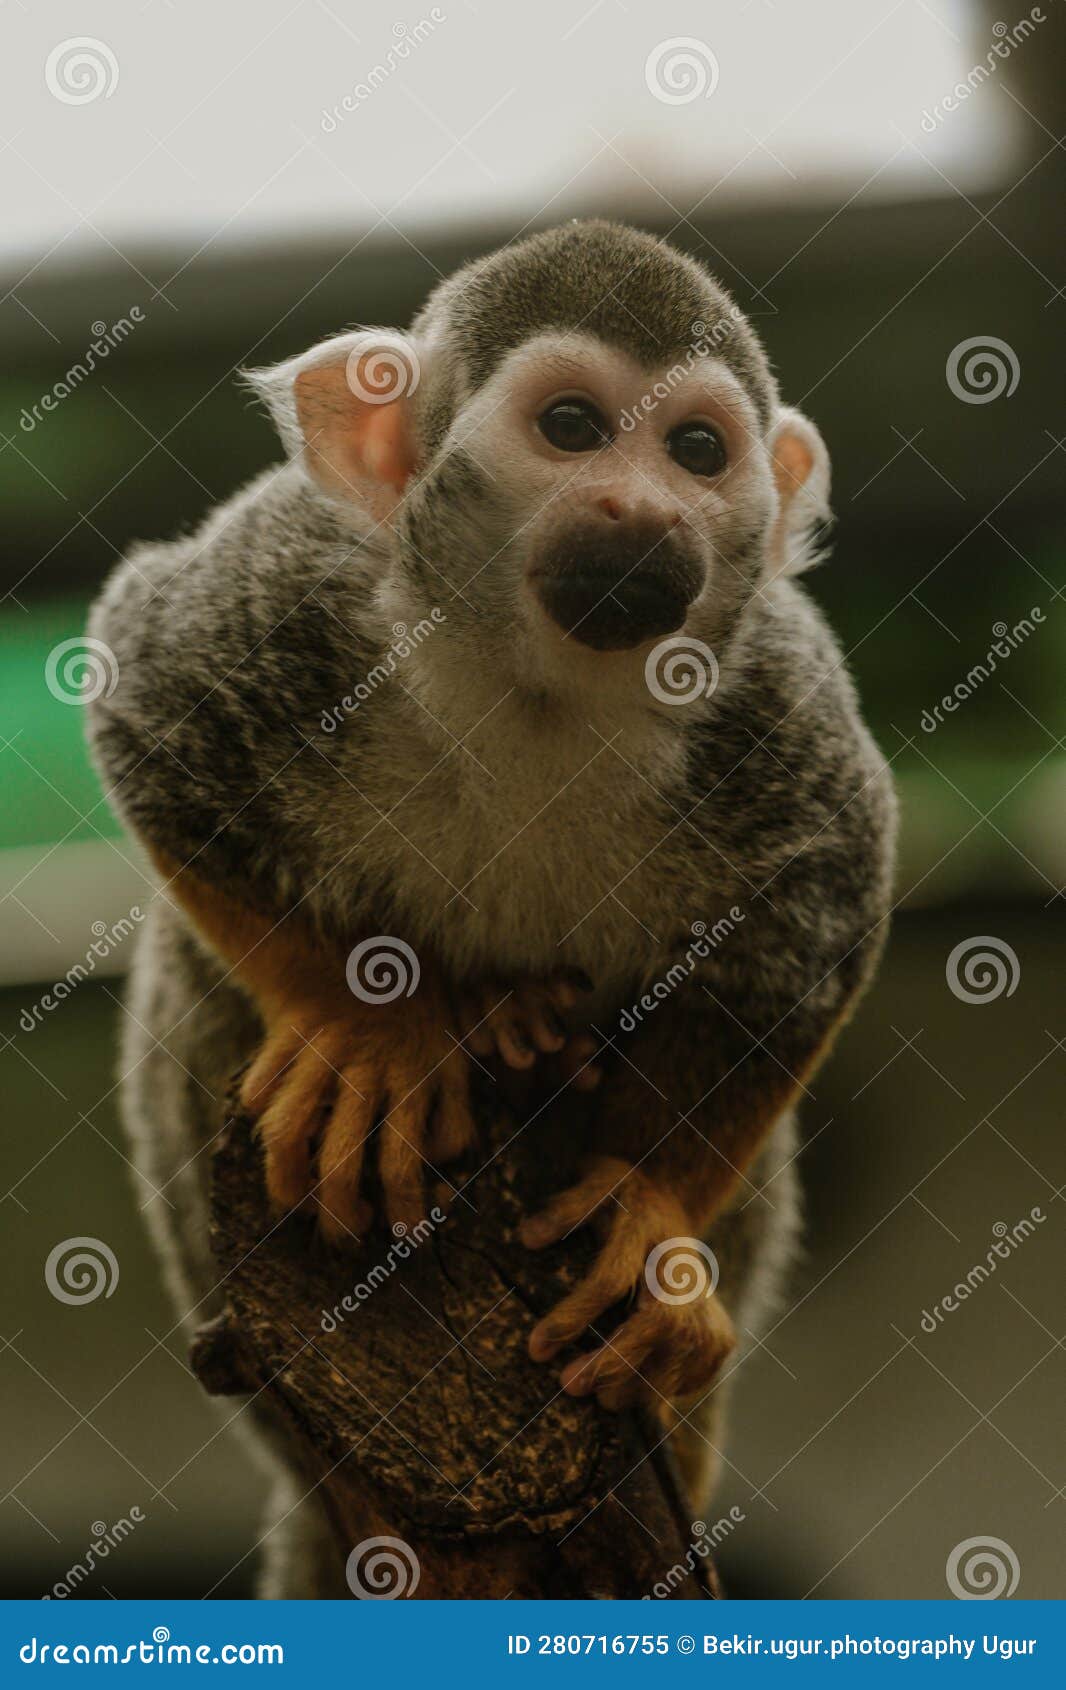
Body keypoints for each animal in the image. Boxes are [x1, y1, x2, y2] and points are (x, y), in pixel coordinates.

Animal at [85, 219, 896, 1597]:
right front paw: (363, 1037)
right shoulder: (298, 584)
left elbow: (827, 897)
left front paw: (656, 1220)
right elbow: (139, 691)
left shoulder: (771, 684)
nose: (643, 510)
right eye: (571, 426)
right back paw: (482, 1023)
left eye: (695, 450)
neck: (541, 685)